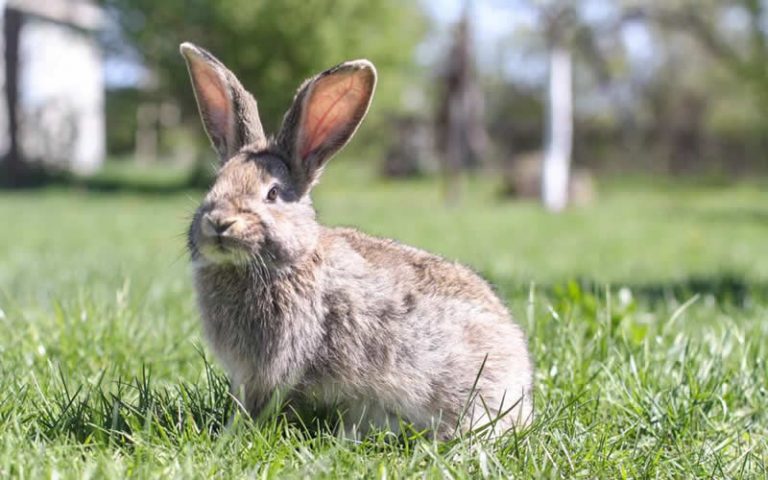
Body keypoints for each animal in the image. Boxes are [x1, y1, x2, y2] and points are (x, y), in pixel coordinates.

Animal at [180, 42, 533, 439]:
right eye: (215, 184)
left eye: (272, 194)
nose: (219, 223)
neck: (291, 261)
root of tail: (522, 381)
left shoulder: (273, 370)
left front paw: (231, 434)